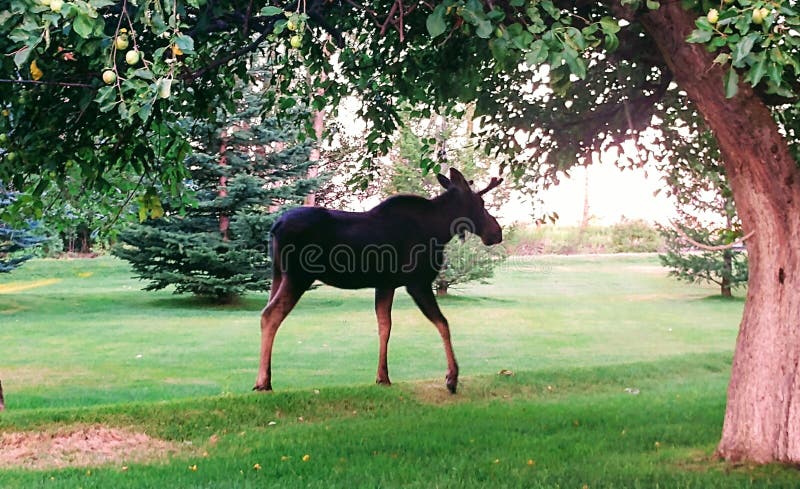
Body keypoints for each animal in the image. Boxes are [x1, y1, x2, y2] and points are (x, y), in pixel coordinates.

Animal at [254, 168, 503, 394]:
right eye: (480, 203)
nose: (497, 232)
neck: (441, 230)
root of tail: (275, 227)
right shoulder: (417, 282)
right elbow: (443, 324)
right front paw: (452, 377)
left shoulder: (385, 284)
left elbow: (385, 326)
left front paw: (382, 376)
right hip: (299, 276)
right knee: (270, 314)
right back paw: (263, 382)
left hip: (278, 274)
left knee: (267, 313)